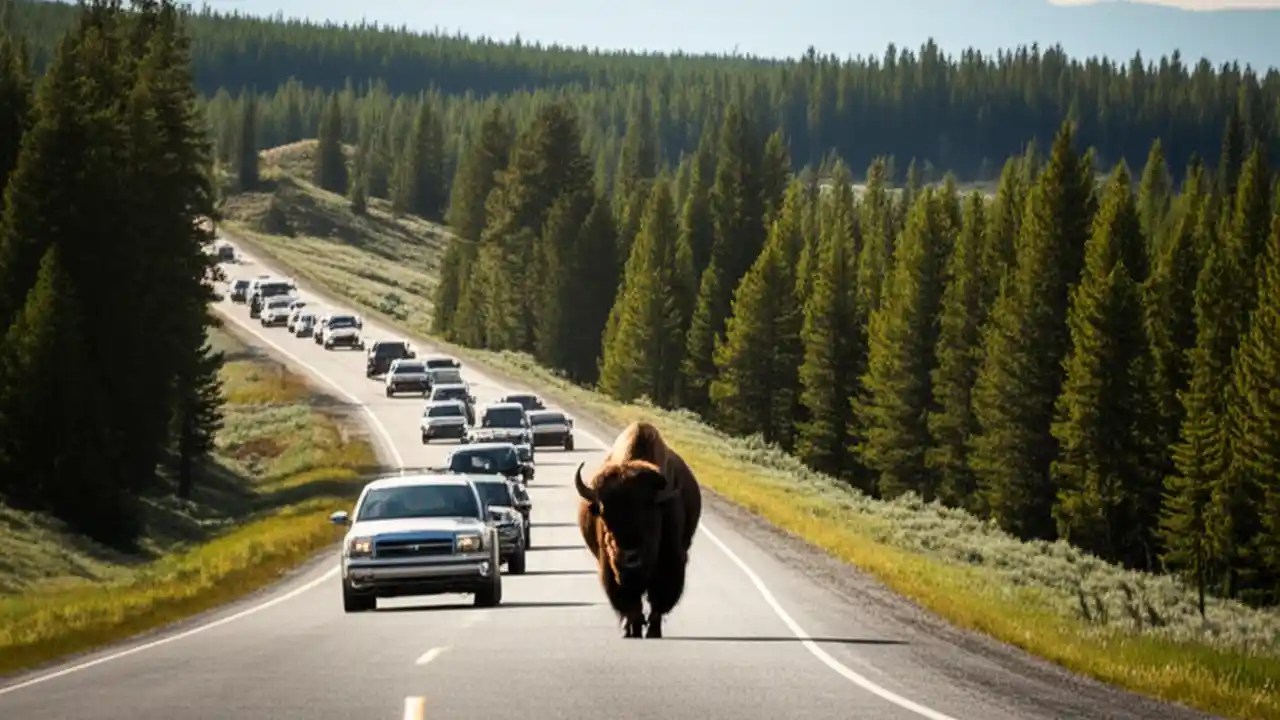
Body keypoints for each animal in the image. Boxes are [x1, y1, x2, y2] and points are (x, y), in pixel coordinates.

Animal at [575, 421, 702, 638]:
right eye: (603, 513)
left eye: (649, 514)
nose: (629, 559)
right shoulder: (611, 569)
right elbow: (630, 603)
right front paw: (631, 628)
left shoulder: (671, 562)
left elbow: (659, 599)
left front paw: (653, 631)